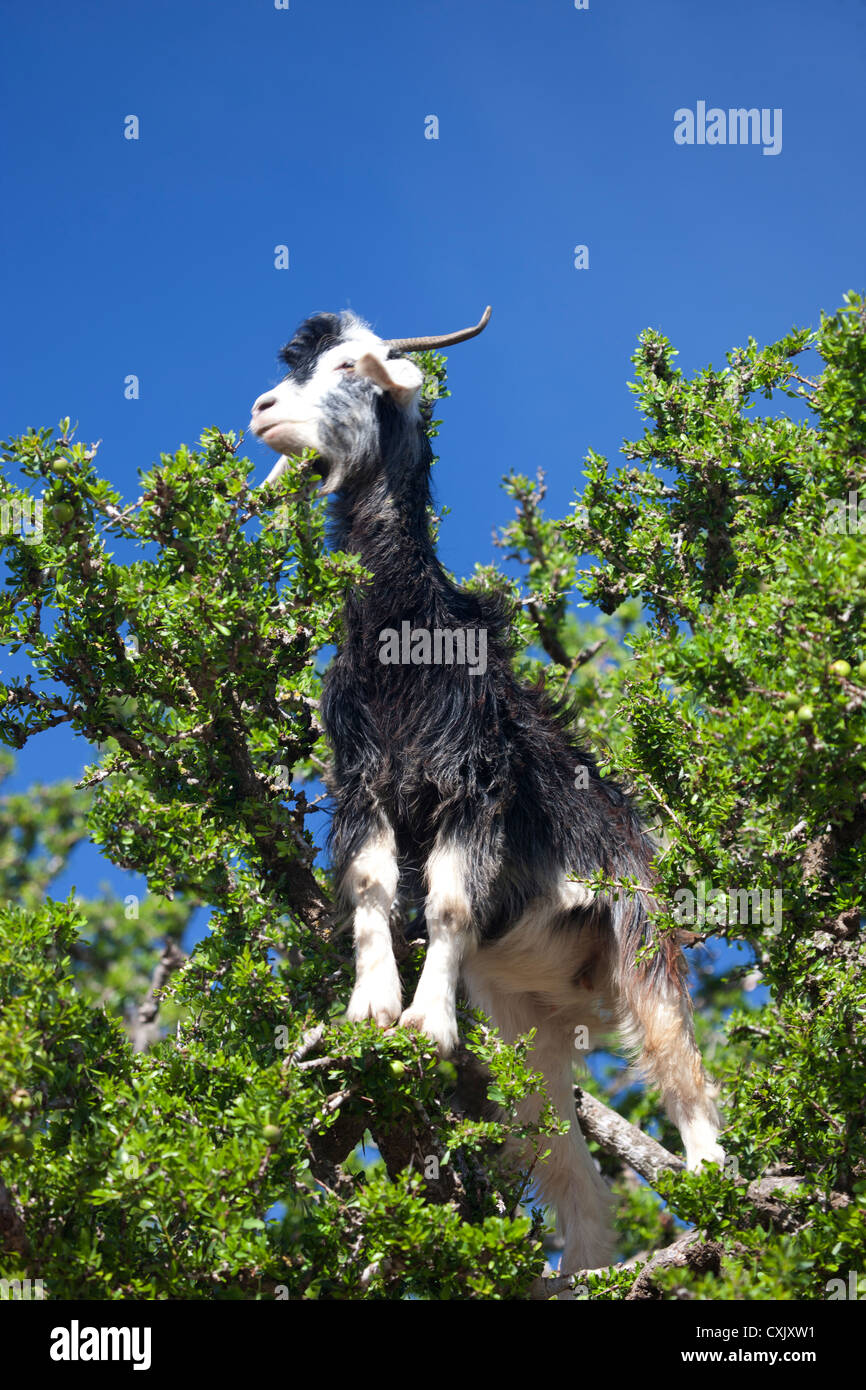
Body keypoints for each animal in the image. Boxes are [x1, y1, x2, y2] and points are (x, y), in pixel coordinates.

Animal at [250, 307, 723, 1273]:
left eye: (351, 367)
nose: (262, 411)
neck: (402, 630)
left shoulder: (473, 781)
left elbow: (449, 905)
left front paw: (426, 1027)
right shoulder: (363, 783)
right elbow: (372, 891)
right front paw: (373, 1009)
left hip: (640, 934)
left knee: (684, 1078)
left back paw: (723, 1202)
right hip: (524, 1017)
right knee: (565, 1162)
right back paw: (589, 1274)